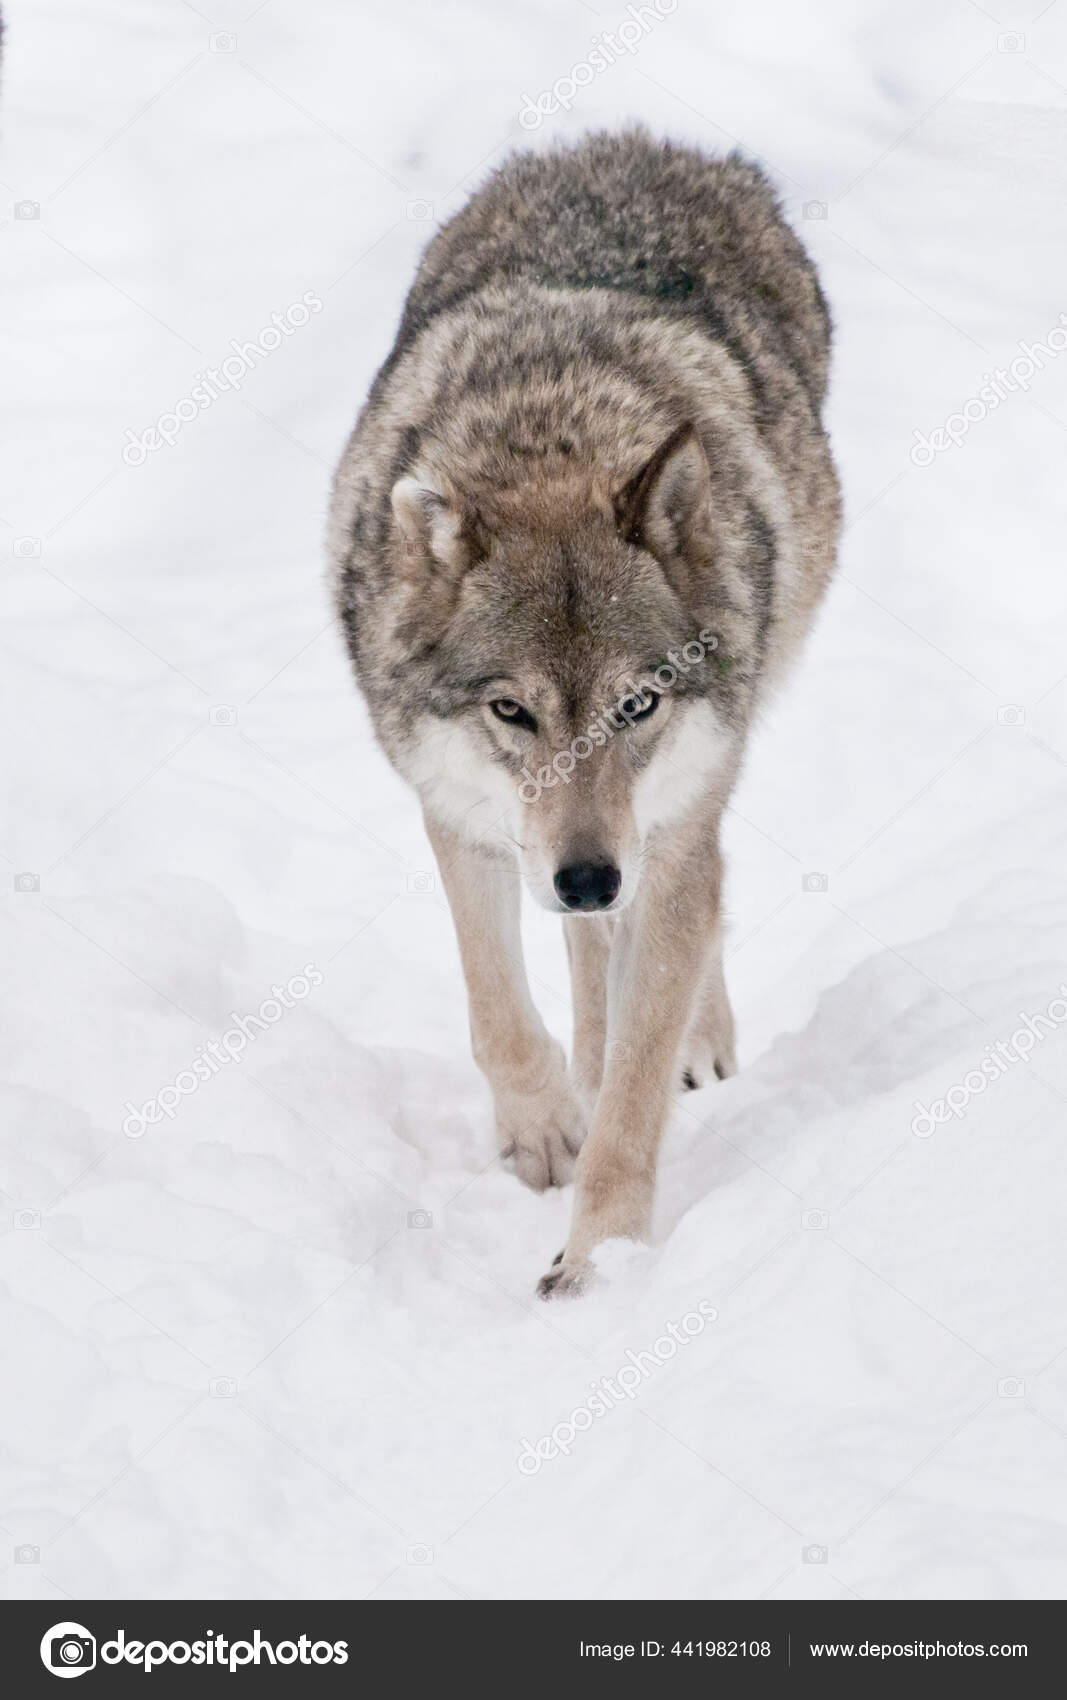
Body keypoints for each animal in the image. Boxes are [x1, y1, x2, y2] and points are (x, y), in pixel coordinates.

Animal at [329, 129, 840, 1297]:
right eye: (511, 710)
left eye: (637, 702)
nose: (587, 875)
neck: (549, 437)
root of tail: (642, 141)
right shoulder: (462, 814)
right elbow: (498, 1013)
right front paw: (545, 1129)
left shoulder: (667, 829)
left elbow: (637, 1086)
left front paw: (598, 1262)